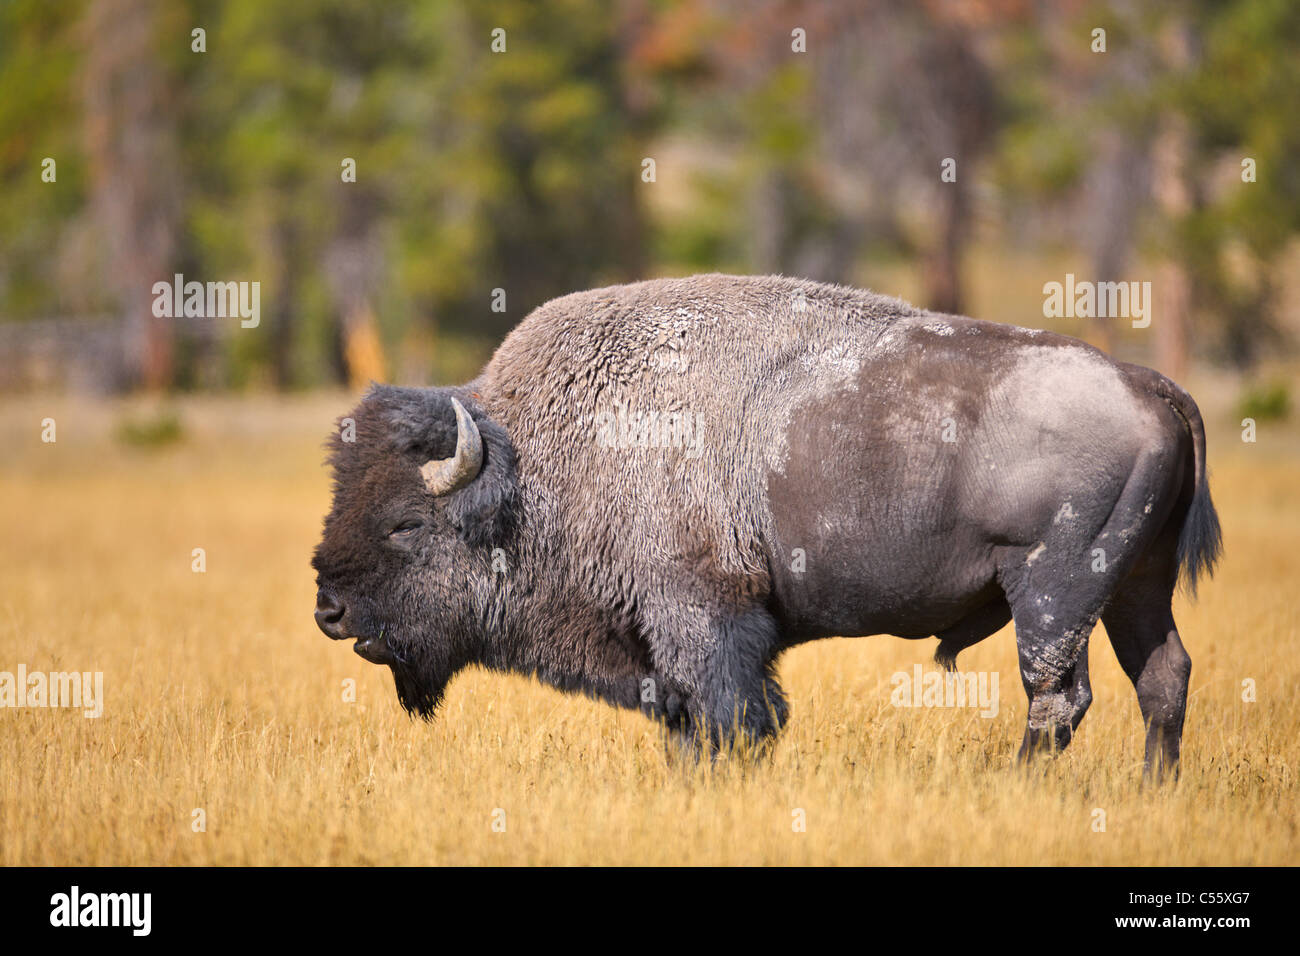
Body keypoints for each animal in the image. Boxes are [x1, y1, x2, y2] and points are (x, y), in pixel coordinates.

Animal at [312, 274, 1221, 778]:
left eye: (405, 525)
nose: (329, 610)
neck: (537, 462)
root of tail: (1148, 385)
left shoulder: (703, 617)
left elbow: (731, 716)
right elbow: (689, 720)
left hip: (1053, 587)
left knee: (1058, 694)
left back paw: (1017, 786)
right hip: (1135, 585)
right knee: (1161, 678)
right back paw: (1154, 790)